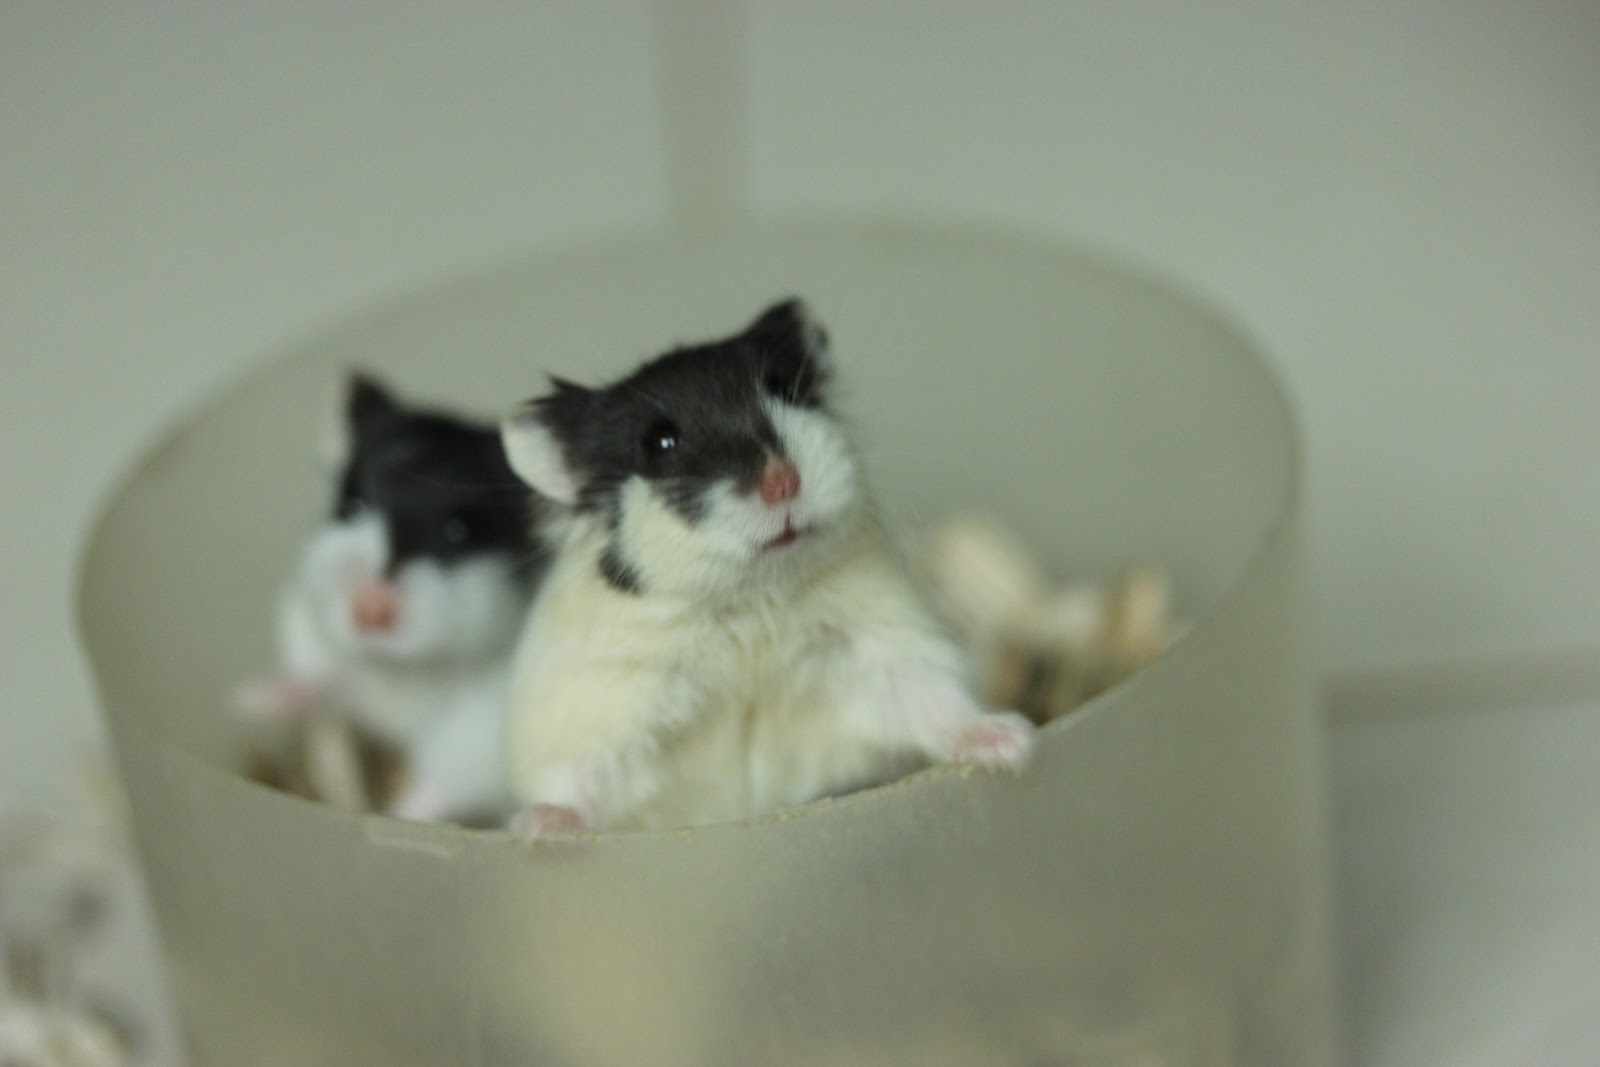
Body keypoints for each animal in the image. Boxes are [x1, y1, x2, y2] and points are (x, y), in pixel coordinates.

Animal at [237, 373, 547, 823]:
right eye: (350, 505)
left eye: (458, 531)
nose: (368, 611)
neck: (404, 670)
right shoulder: (309, 629)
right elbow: (324, 675)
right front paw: (249, 699)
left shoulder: (482, 733)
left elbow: (439, 783)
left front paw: (391, 816)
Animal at [498, 300, 1035, 838]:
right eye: (660, 443)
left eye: (784, 390)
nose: (782, 482)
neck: (751, 600)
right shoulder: (604, 699)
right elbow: (577, 775)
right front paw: (541, 829)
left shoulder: (883, 647)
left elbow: (935, 700)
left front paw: (1014, 743)